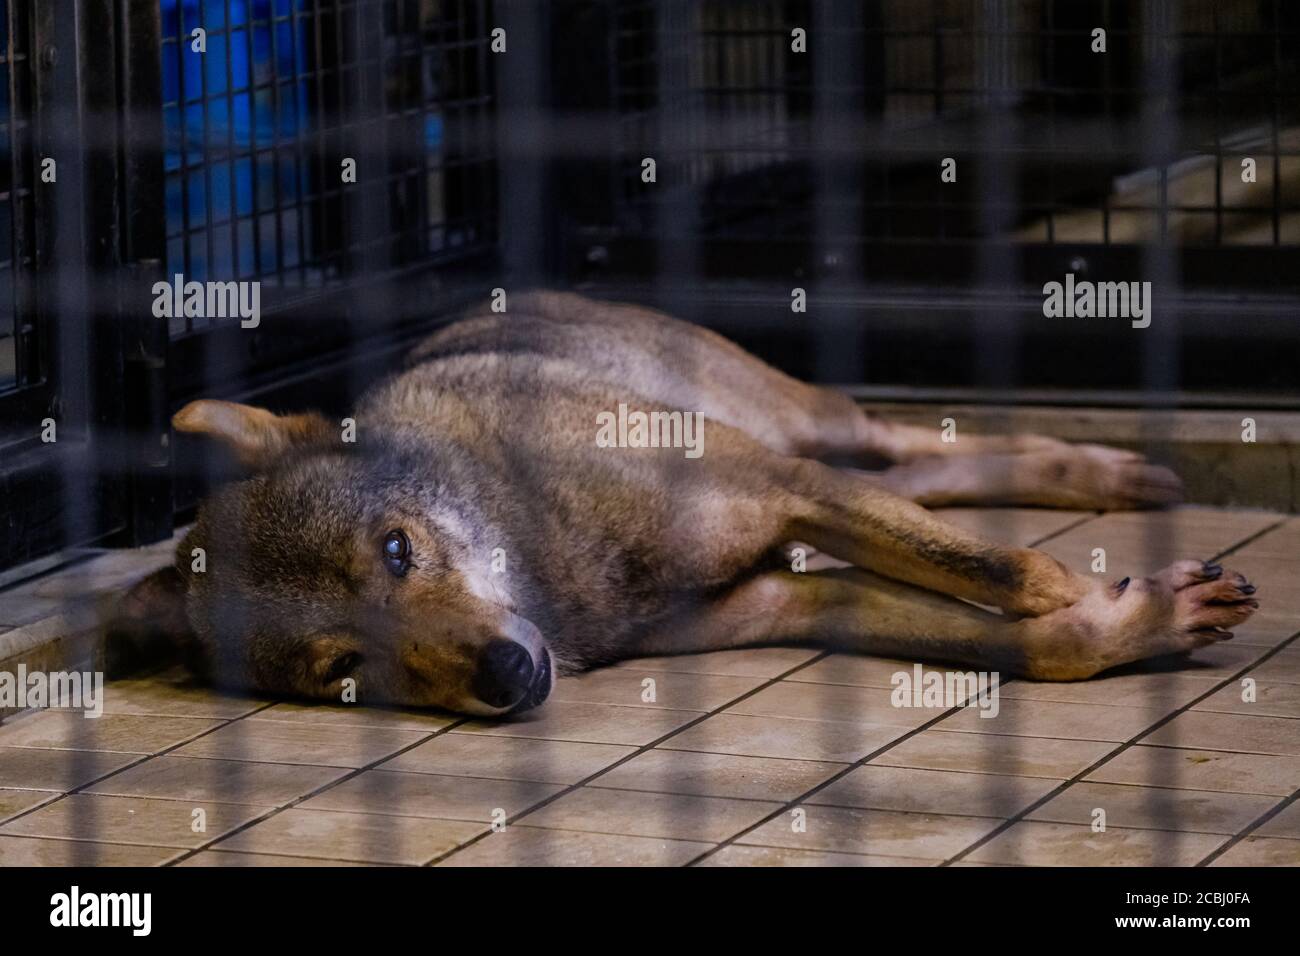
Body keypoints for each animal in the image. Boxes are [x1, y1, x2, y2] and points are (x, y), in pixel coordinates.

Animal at [114, 292, 1259, 716]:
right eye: (348, 670)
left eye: (396, 552)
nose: (508, 676)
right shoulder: (798, 597)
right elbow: (1026, 639)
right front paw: (1130, 619)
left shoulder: (788, 489)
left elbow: (1009, 572)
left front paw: (1102, 594)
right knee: (924, 477)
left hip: (807, 426)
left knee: (914, 446)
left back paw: (1110, 473)